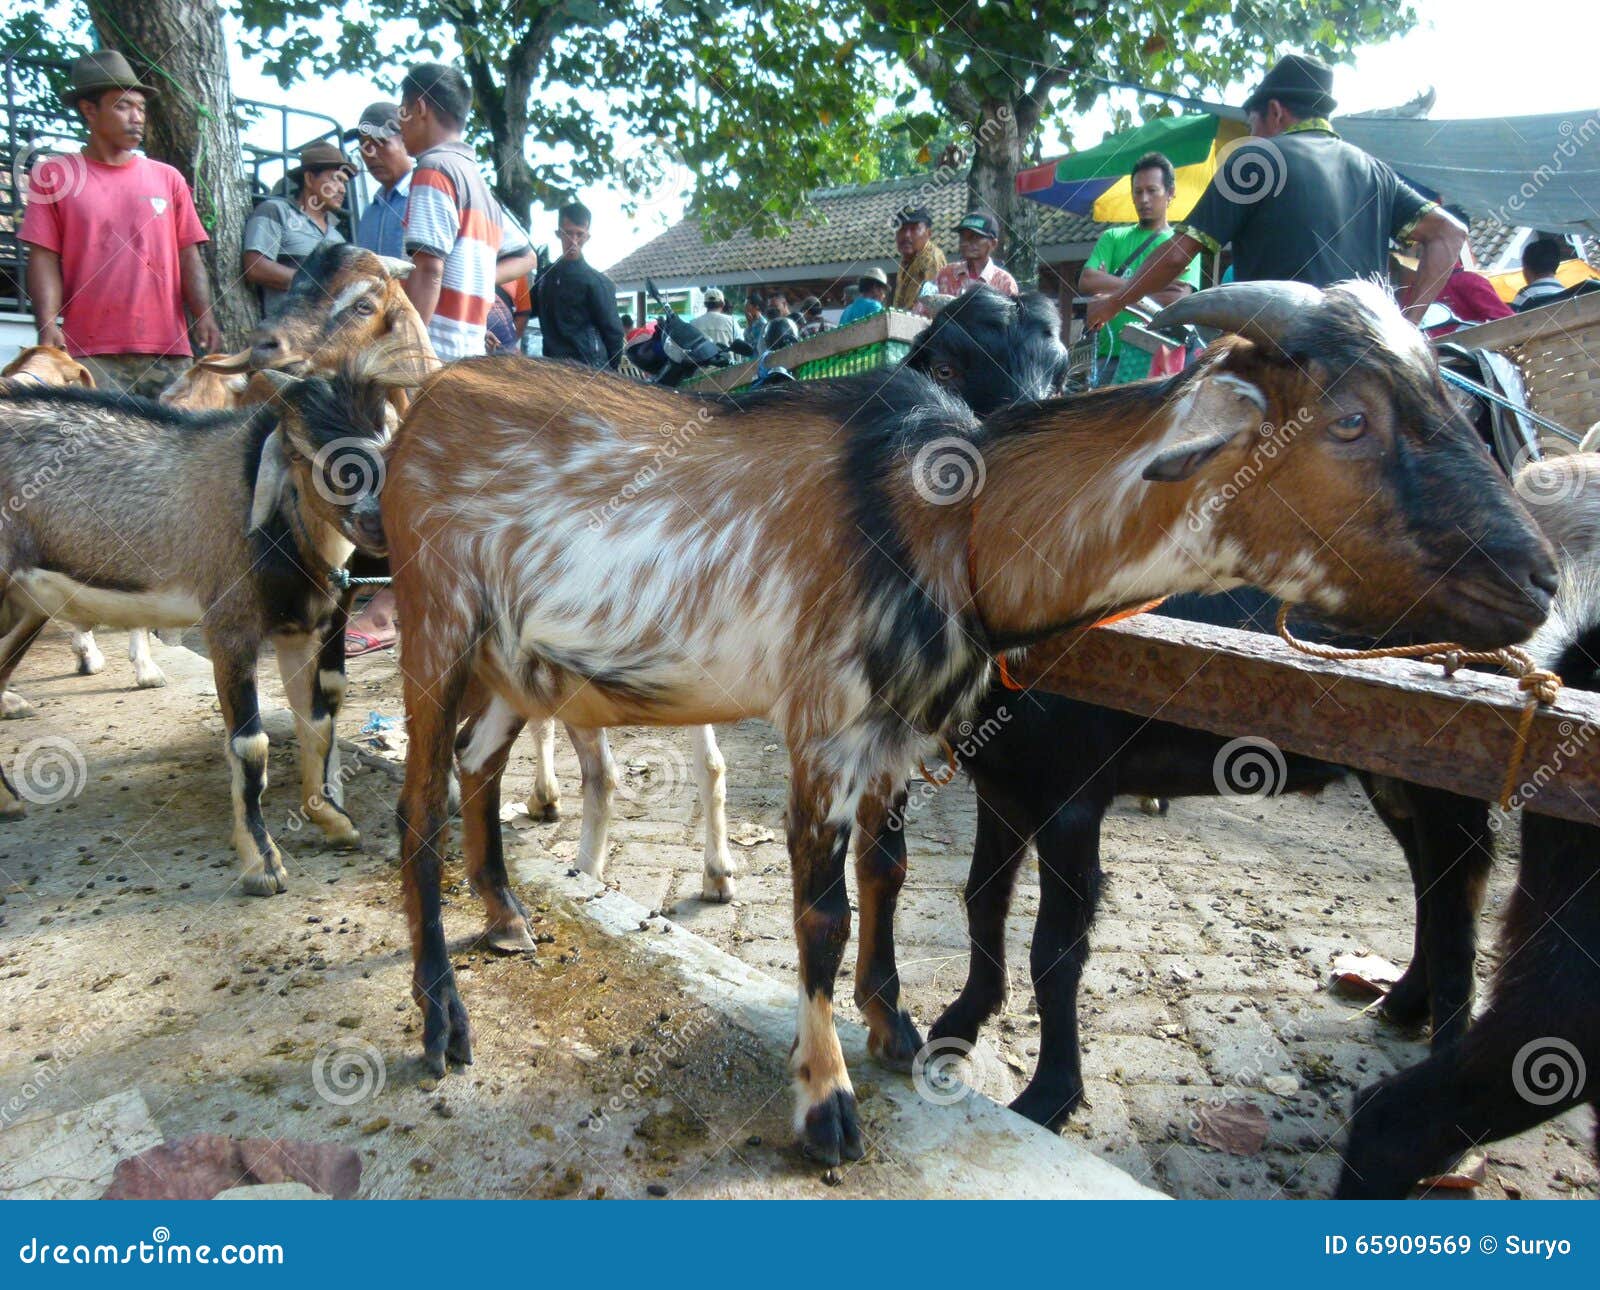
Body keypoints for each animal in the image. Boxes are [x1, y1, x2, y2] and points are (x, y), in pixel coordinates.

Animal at [0, 358, 405, 893]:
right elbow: (251, 746)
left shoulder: (299, 631)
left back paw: (7, 799)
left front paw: (333, 821)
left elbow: (316, 724)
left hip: (24, 604)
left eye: (389, 436)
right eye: (302, 451)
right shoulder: (229, 629)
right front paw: (261, 862)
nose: (380, 524)